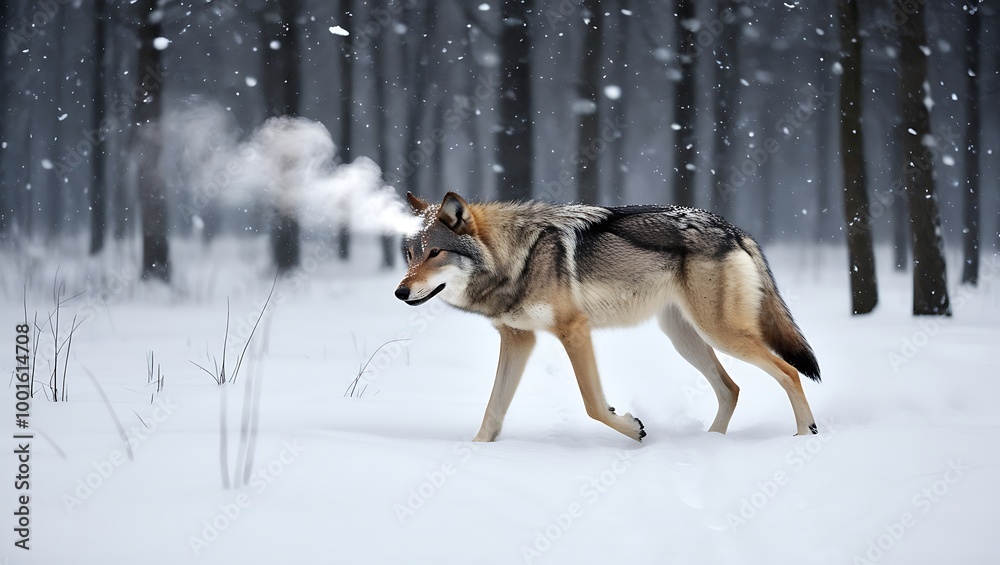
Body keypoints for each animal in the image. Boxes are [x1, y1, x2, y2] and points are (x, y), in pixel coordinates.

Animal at [395, 192, 820, 442]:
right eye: (411, 254)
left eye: (435, 253)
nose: (399, 292)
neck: (519, 257)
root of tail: (734, 229)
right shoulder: (518, 339)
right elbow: (492, 411)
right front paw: (479, 452)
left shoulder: (574, 330)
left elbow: (594, 405)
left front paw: (633, 429)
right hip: (685, 339)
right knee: (731, 388)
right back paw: (711, 443)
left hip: (721, 334)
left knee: (789, 372)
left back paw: (804, 438)